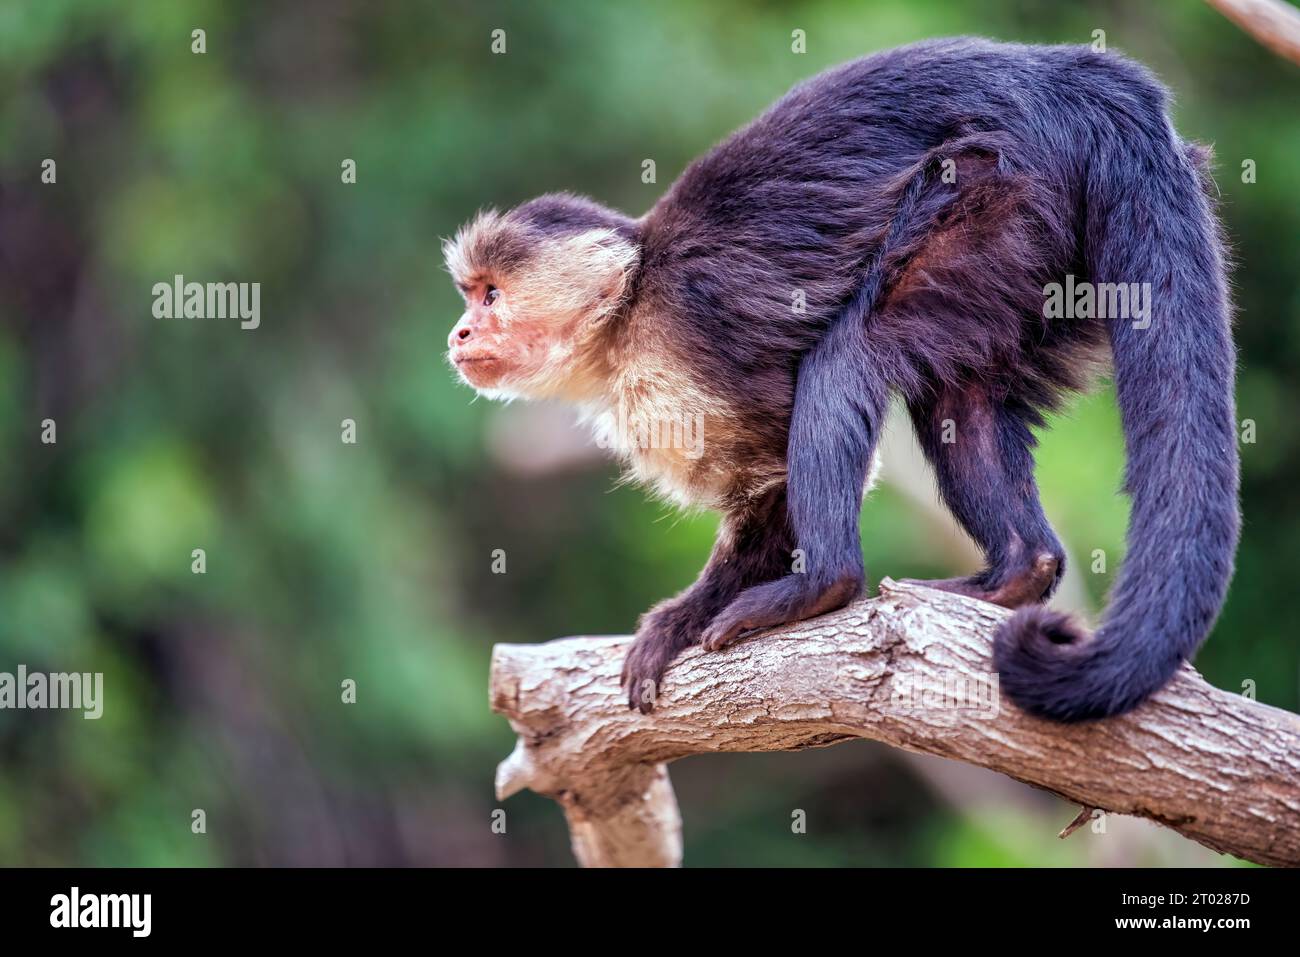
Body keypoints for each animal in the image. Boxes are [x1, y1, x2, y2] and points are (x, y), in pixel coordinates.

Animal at [444, 37, 1239, 723]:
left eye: (490, 296)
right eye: (469, 295)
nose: (459, 333)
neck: (627, 310)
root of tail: (1082, 81)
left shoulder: (680, 346)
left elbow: (772, 472)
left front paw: (679, 621)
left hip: (999, 182)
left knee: (848, 353)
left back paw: (821, 586)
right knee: (961, 397)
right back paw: (1018, 568)